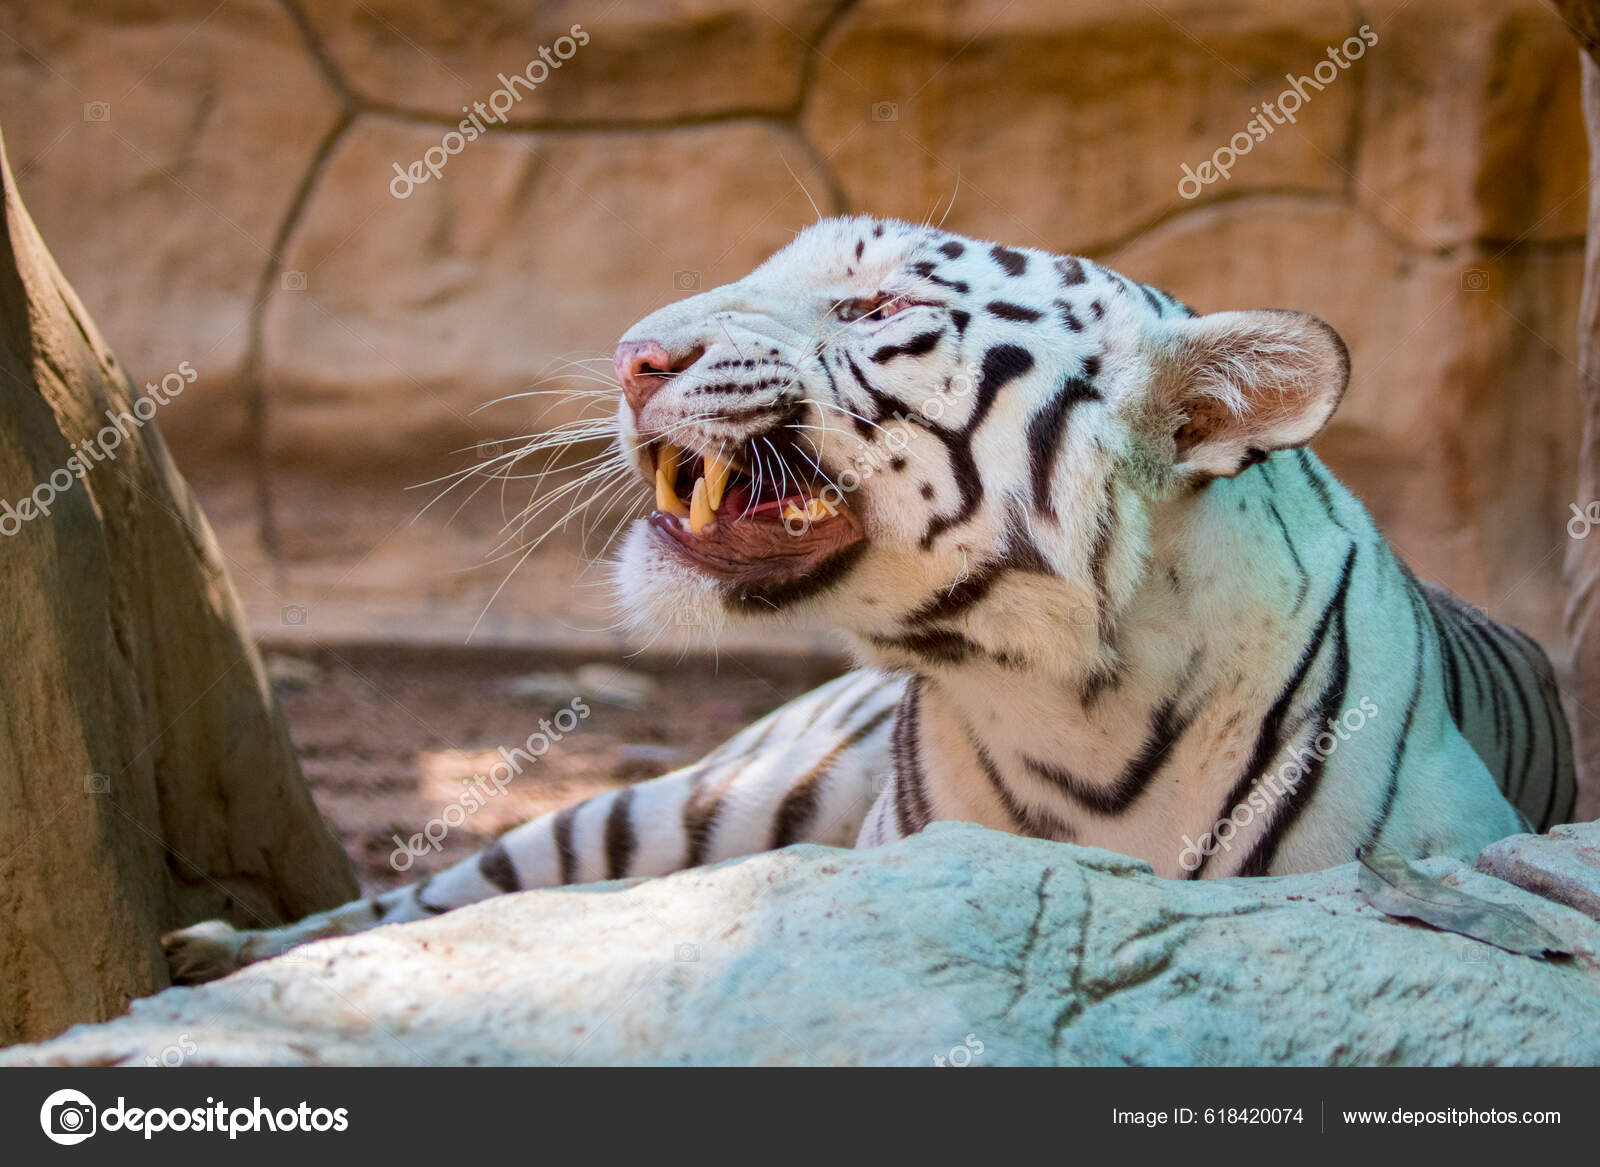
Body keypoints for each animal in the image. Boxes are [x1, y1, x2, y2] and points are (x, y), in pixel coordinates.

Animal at [164, 216, 1576, 984]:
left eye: (880, 303)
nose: (631, 355)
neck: (1065, 710)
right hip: (663, 808)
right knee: (428, 903)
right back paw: (220, 955)